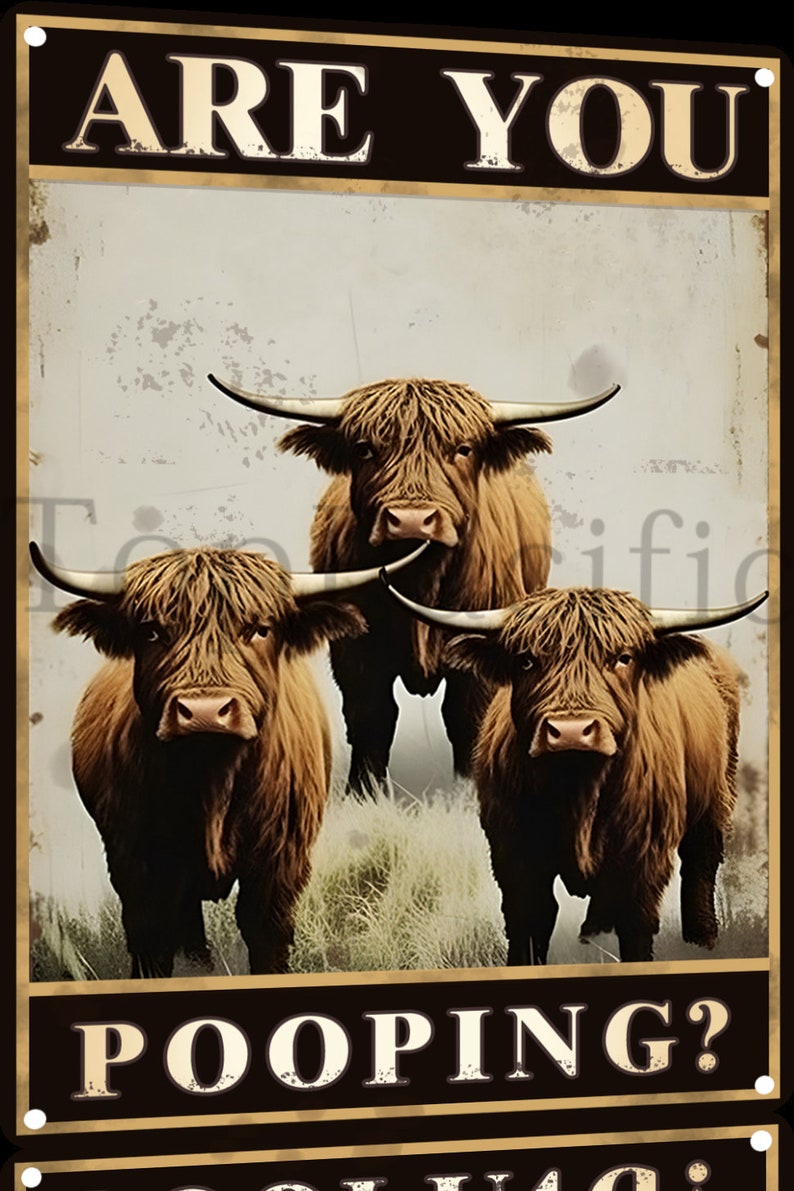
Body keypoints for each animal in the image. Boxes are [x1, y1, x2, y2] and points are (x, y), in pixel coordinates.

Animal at [30, 540, 424, 978]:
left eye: (260, 629)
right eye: (151, 631)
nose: (204, 711)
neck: (213, 780)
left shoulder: (282, 859)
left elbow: (265, 932)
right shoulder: (134, 856)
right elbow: (152, 936)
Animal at [208, 373, 619, 793]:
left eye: (463, 449)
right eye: (365, 449)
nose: (411, 520)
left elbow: (467, 716)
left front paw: (467, 788)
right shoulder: (355, 649)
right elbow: (371, 714)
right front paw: (364, 791)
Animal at [381, 574, 767, 963]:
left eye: (623, 657)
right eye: (526, 660)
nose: (570, 731)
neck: (578, 789)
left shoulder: (645, 855)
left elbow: (636, 922)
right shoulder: (513, 851)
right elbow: (529, 919)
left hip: (716, 799)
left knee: (701, 860)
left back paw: (702, 940)